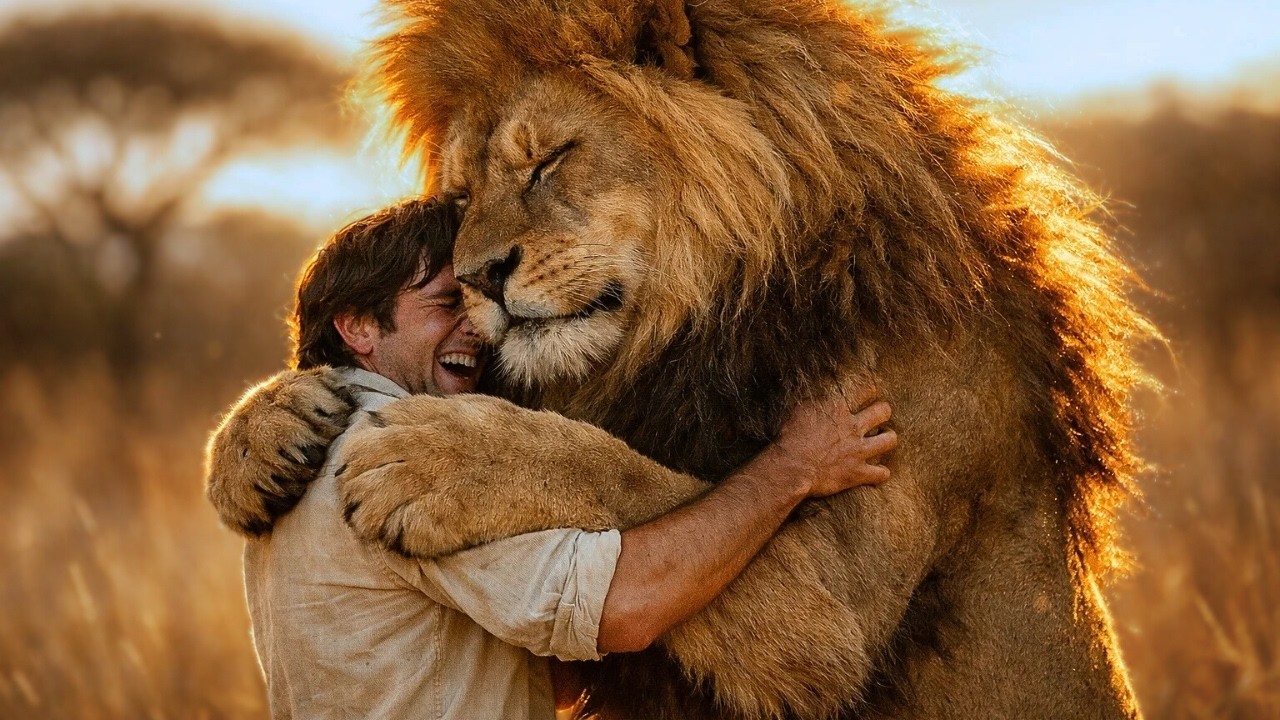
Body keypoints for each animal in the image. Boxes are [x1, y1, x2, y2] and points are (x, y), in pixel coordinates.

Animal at [206, 0, 1154, 718]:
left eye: (550, 160)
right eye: (463, 194)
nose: (478, 277)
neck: (708, 320)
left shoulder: (833, 610)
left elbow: (634, 474)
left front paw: (436, 458)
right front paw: (256, 437)